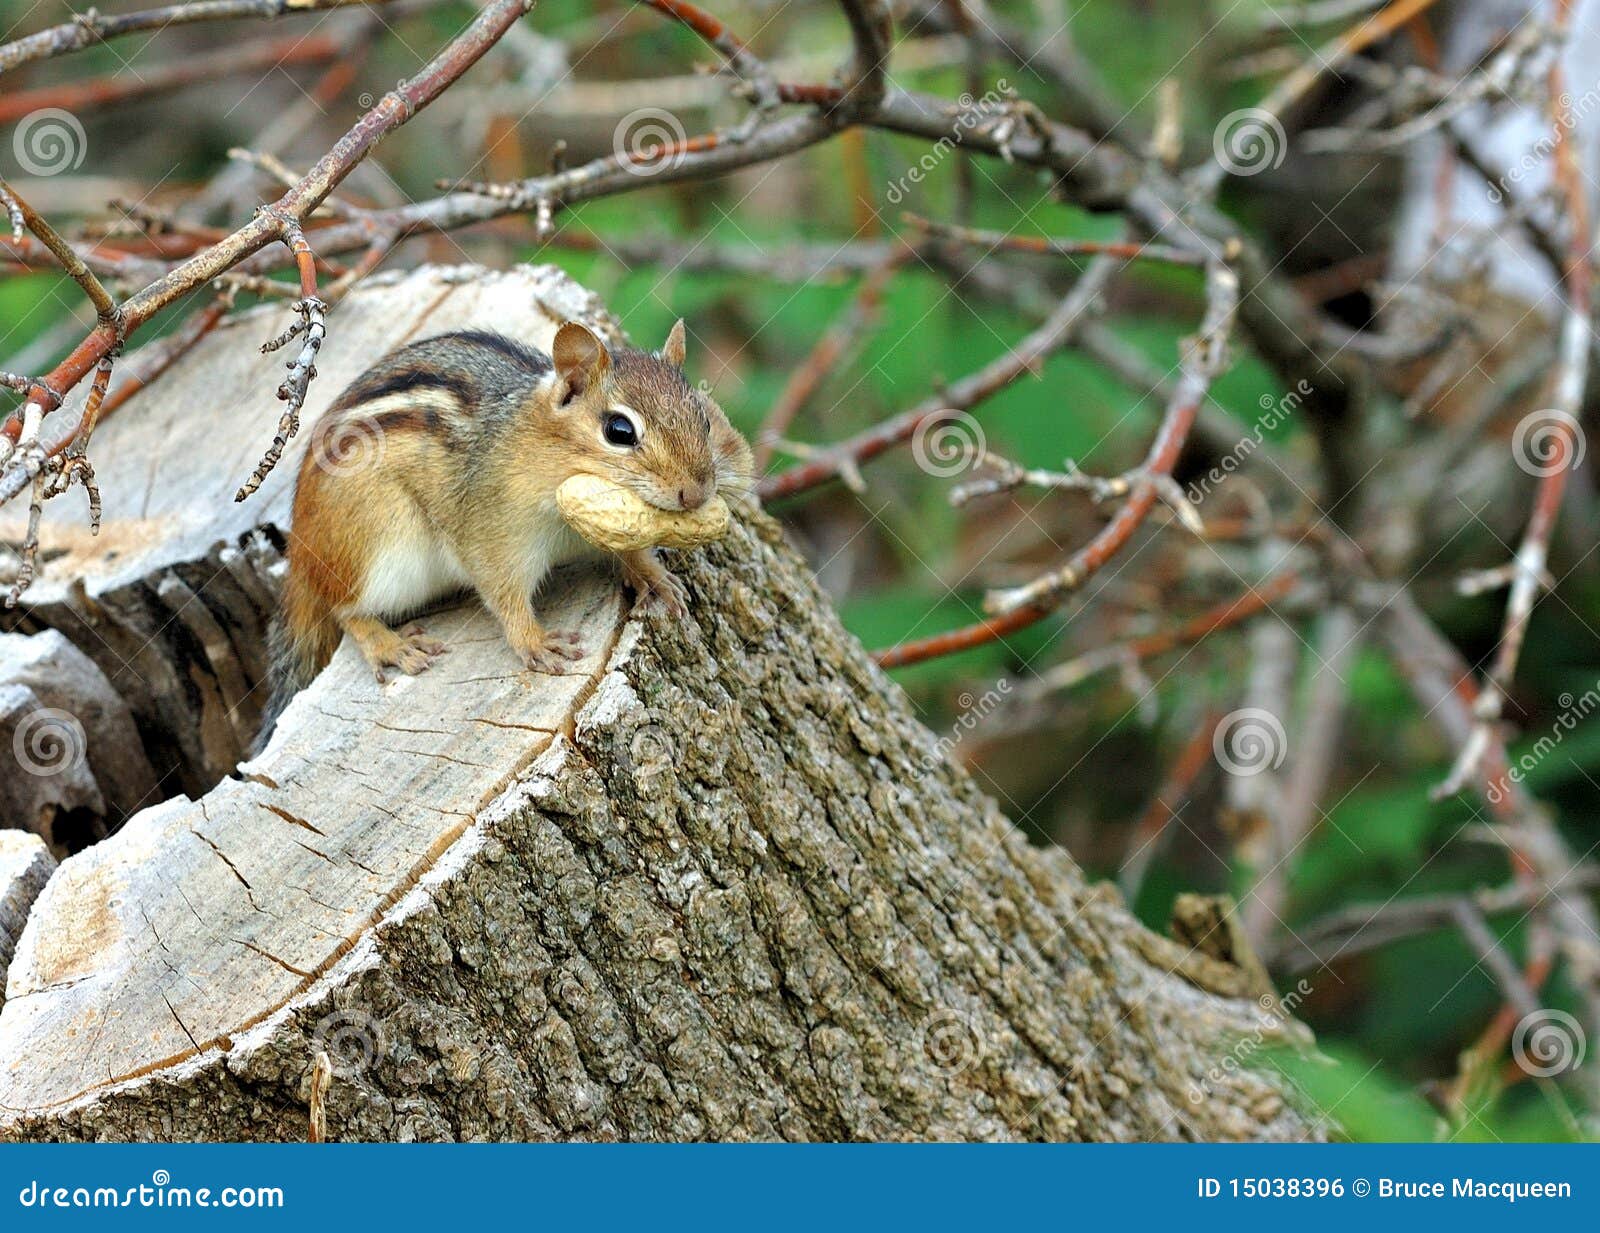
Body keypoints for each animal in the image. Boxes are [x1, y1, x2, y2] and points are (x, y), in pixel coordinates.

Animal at [258, 319, 752, 740]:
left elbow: (626, 549)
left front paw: (653, 576)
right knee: (344, 610)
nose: (697, 491)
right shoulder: (492, 537)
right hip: (376, 545)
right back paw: (389, 644)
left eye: (704, 418)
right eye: (619, 431)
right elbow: (503, 594)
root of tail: (300, 557)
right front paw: (536, 642)